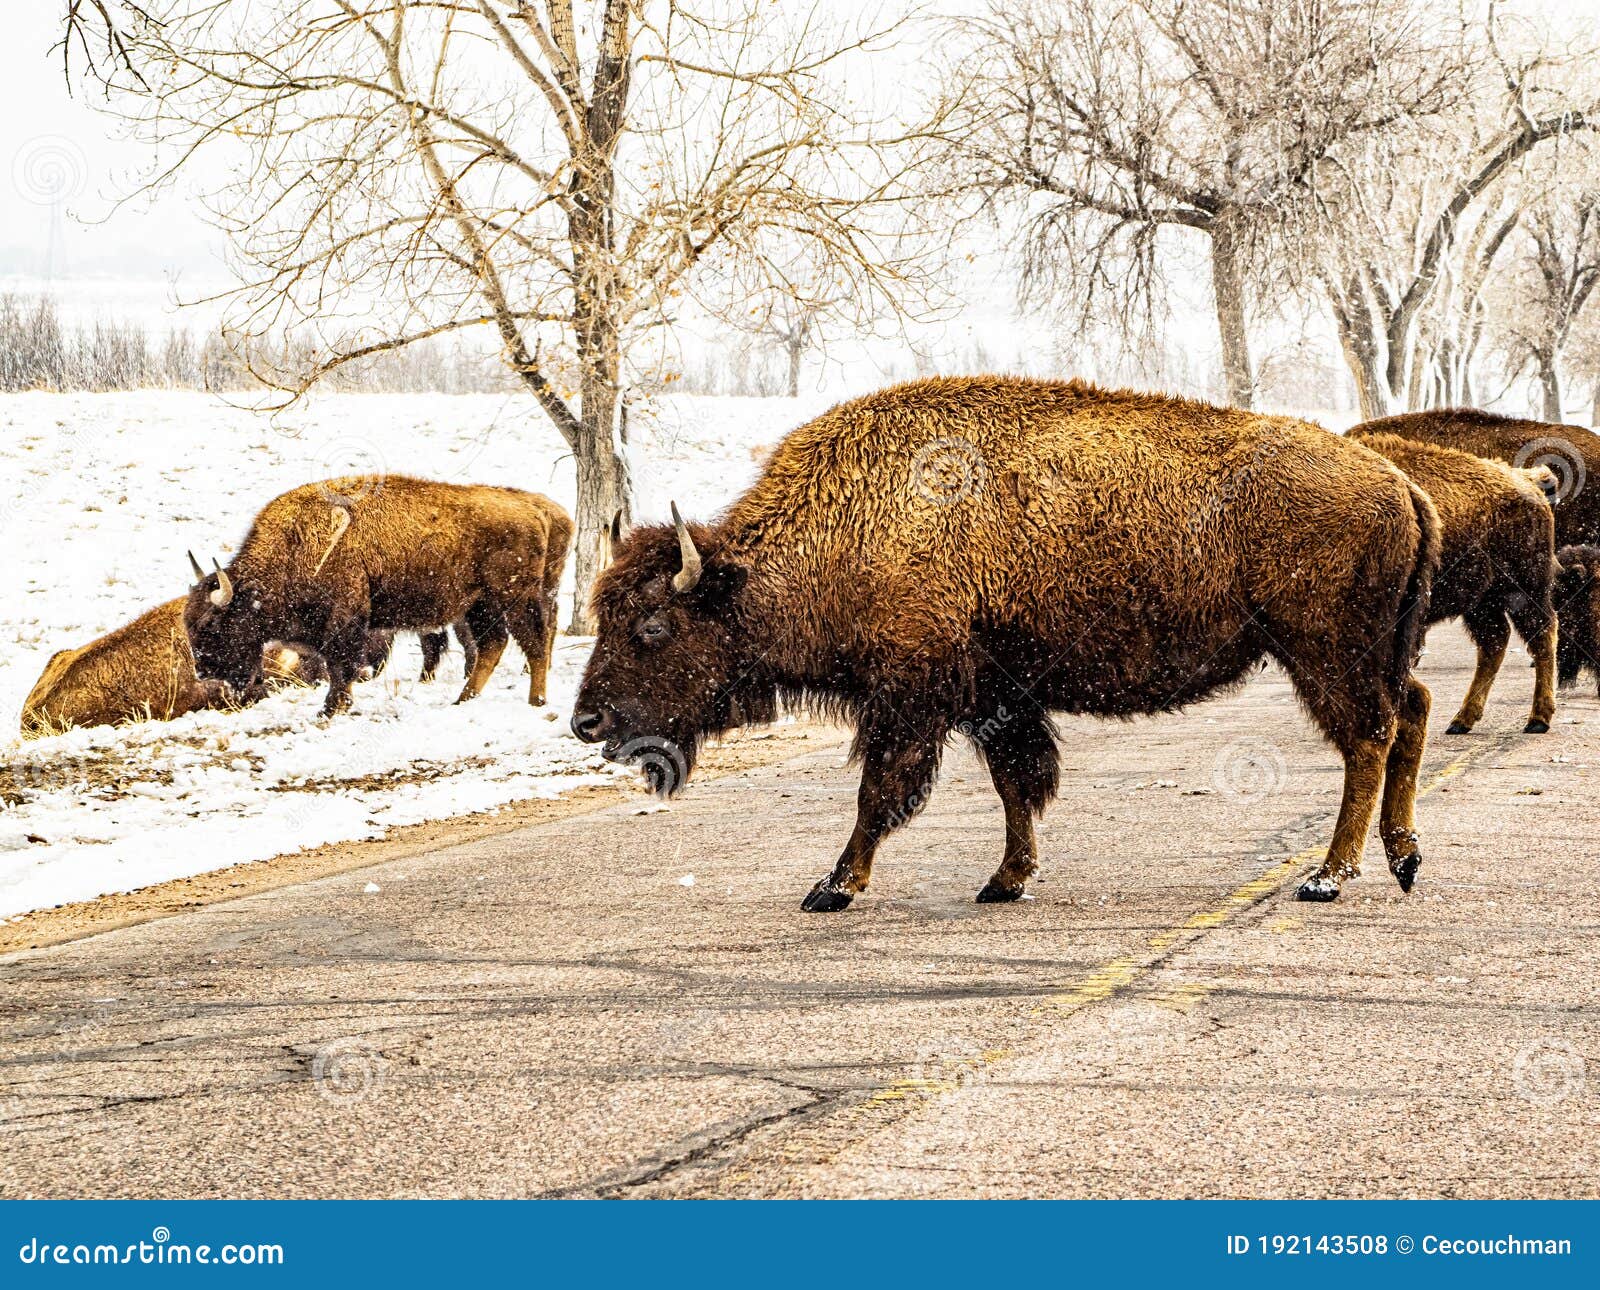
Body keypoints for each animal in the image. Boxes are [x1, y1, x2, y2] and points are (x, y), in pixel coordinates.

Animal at [185, 477, 571, 717]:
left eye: (213, 624)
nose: (203, 671)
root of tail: (534, 509)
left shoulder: (345, 621)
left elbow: (340, 666)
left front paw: (330, 709)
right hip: (481, 605)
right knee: (493, 645)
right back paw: (463, 700)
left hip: (517, 597)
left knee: (535, 642)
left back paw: (536, 700)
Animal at [573, 376, 1440, 909]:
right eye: (602, 616)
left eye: (652, 628)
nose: (587, 722)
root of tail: (1398, 483)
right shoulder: (994, 696)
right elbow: (1016, 782)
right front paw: (1007, 879)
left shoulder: (912, 697)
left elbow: (881, 791)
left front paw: (833, 886)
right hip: (1370, 651)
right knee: (1411, 713)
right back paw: (1402, 860)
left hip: (1323, 651)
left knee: (1369, 737)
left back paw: (1329, 877)